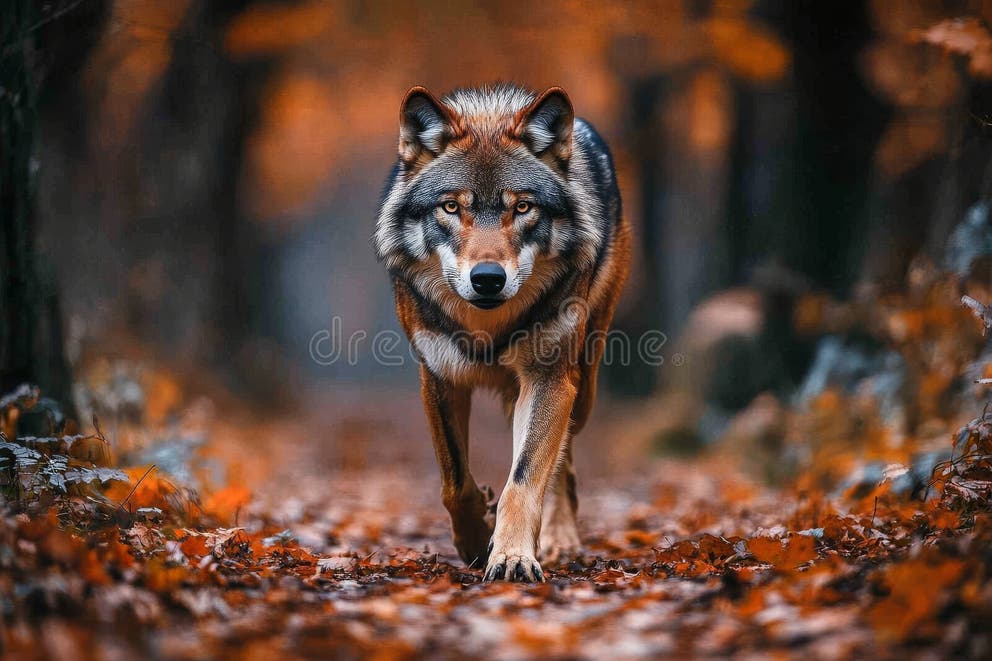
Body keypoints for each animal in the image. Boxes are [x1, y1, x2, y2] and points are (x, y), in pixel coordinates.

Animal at [374, 83, 630, 582]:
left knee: (562, 465)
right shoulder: (438, 377)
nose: (488, 278)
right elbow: (454, 482)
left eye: (523, 207)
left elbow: (525, 478)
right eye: (451, 206)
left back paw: (558, 540)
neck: (487, 327)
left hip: (581, 386)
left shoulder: (550, 379)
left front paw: (512, 556)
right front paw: (476, 541)